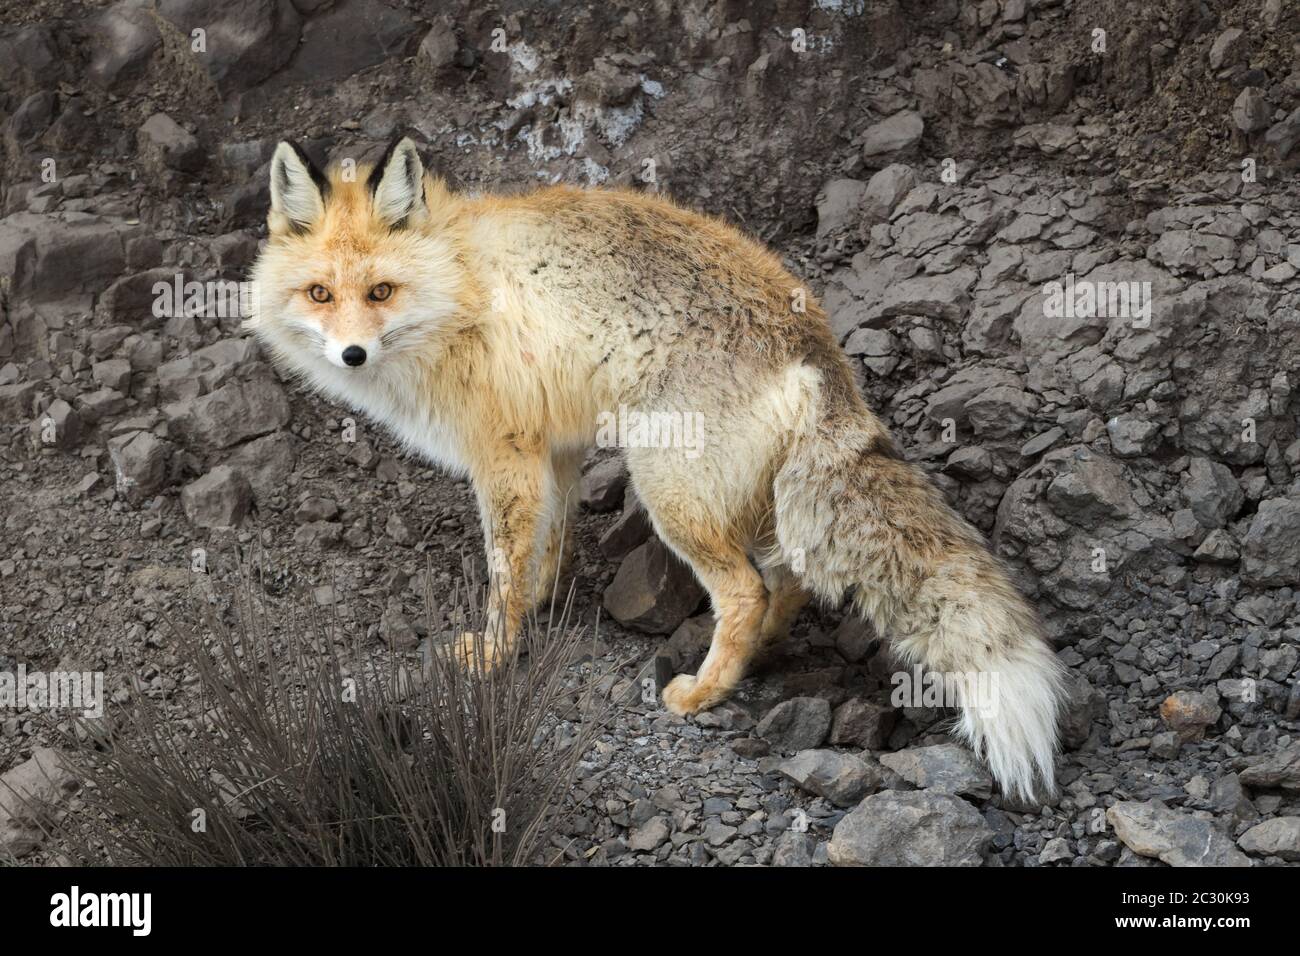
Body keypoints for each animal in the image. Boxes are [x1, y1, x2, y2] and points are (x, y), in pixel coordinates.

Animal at [246, 135, 1067, 802]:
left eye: (381, 291)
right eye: (320, 294)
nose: (351, 353)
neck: (458, 288)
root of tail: (815, 346)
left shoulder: (503, 455)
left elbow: (503, 573)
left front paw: (493, 653)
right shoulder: (553, 449)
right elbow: (545, 550)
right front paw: (542, 606)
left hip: (670, 491)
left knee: (745, 590)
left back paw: (704, 692)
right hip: (737, 499)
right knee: (787, 581)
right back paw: (758, 657)